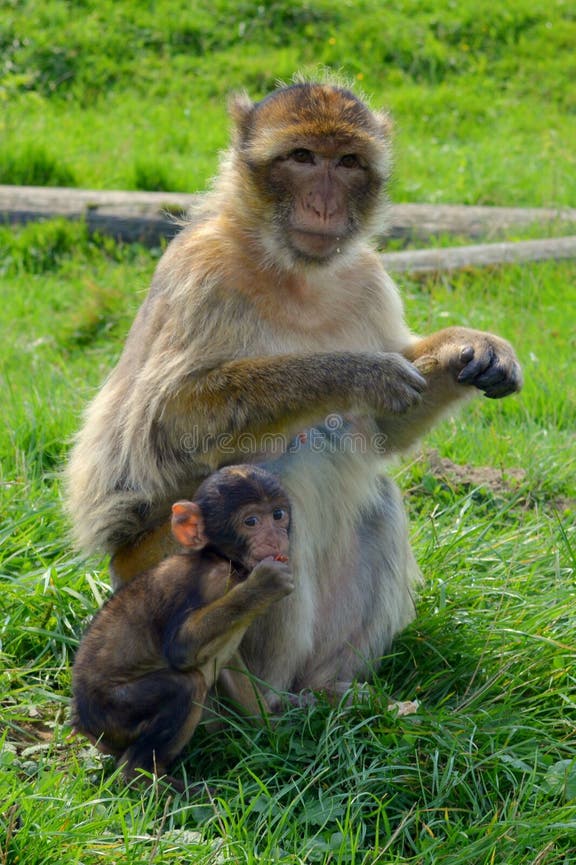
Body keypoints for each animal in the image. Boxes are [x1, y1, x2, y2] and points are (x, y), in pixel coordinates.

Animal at [66, 78, 522, 708]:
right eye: (302, 158)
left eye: (347, 162)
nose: (324, 205)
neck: (294, 270)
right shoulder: (201, 273)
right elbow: (164, 425)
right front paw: (354, 371)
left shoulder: (368, 277)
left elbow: (383, 433)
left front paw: (467, 349)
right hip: (154, 578)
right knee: (276, 491)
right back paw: (263, 704)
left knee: (377, 500)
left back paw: (332, 690)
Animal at [71, 465, 293, 787]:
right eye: (251, 521)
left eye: (278, 515)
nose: (275, 538)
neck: (225, 561)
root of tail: (82, 718)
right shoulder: (211, 579)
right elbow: (181, 649)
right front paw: (263, 586)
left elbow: (231, 669)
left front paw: (276, 739)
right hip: (112, 711)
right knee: (186, 685)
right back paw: (143, 778)